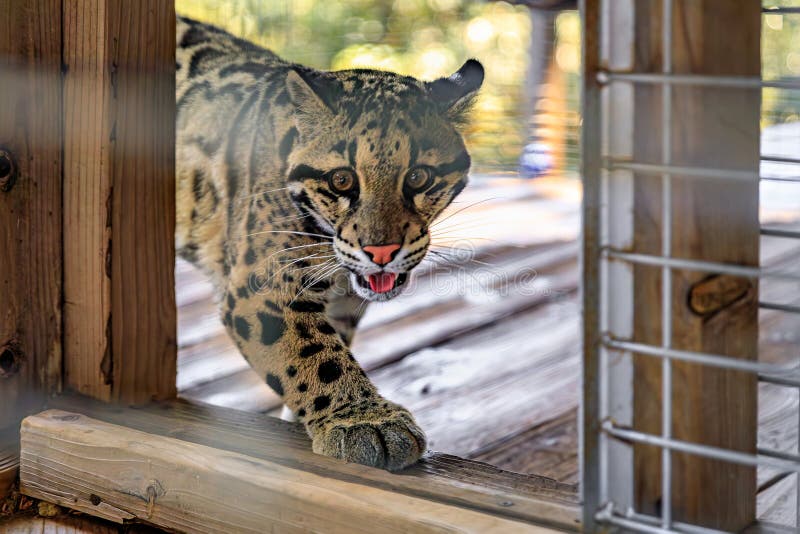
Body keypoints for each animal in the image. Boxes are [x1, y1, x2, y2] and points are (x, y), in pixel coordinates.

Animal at [175, 16, 483, 471]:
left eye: (418, 178)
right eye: (341, 180)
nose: (381, 252)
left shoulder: (343, 300)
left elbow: (330, 344)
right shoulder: (261, 289)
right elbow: (314, 354)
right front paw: (366, 422)